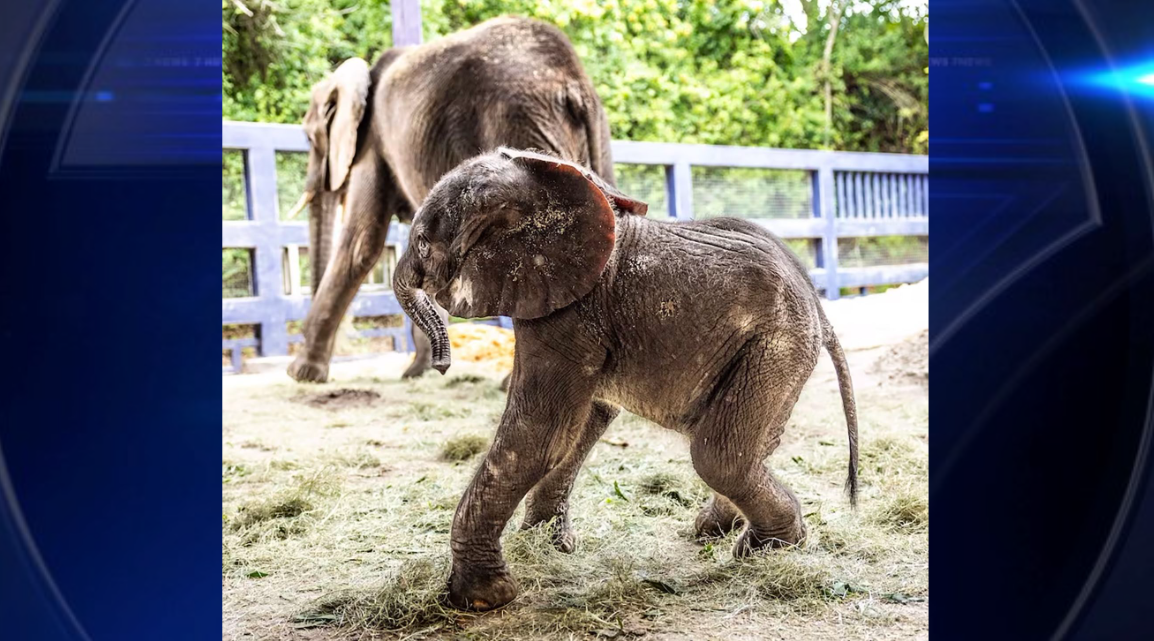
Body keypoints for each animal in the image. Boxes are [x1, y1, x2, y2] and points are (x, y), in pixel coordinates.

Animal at [284, 16, 616, 383]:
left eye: (310, 138)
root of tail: (572, 80)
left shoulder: (373, 141)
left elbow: (360, 243)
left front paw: (301, 374)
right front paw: (417, 372)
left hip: (519, 121)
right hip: (590, 133)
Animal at [391, 148, 861, 611]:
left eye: (423, 243)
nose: (442, 366)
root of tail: (818, 306)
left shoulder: (569, 312)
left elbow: (542, 433)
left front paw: (480, 597)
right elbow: (584, 423)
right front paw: (548, 546)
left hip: (775, 344)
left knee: (718, 454)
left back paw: (766, 548)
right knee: (755, 443)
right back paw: (715, 528)